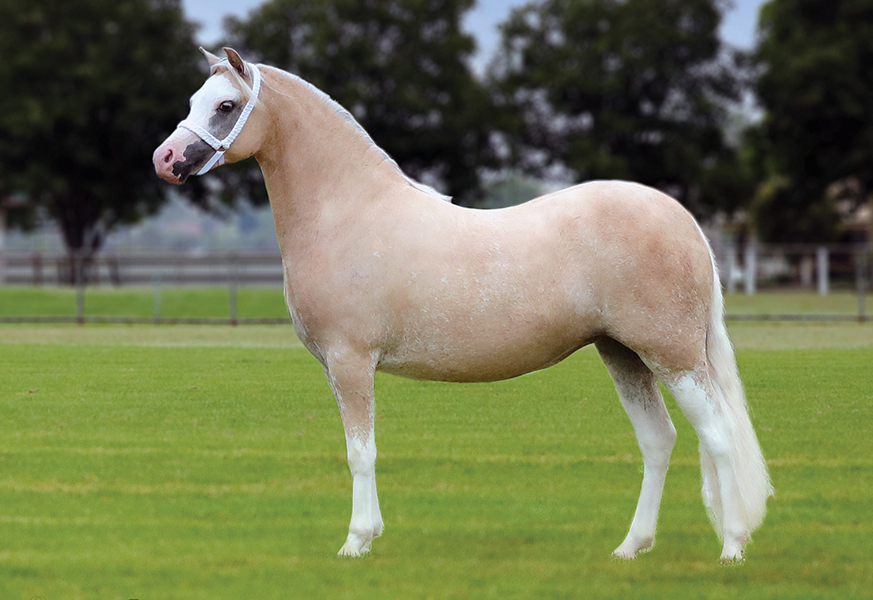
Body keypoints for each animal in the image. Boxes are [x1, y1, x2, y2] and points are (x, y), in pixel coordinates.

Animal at [153, 47, 772, 563]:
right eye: (194, 100)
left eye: (226, 105)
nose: (165, 158)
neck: (347, 212)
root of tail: (682, 220)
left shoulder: (351, 363)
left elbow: (361, 452)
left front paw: (357, 541)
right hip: (622, 354)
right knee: (659, 440)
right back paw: (631, 547)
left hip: (673, 355)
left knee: (717, 434)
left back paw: (731, 548)